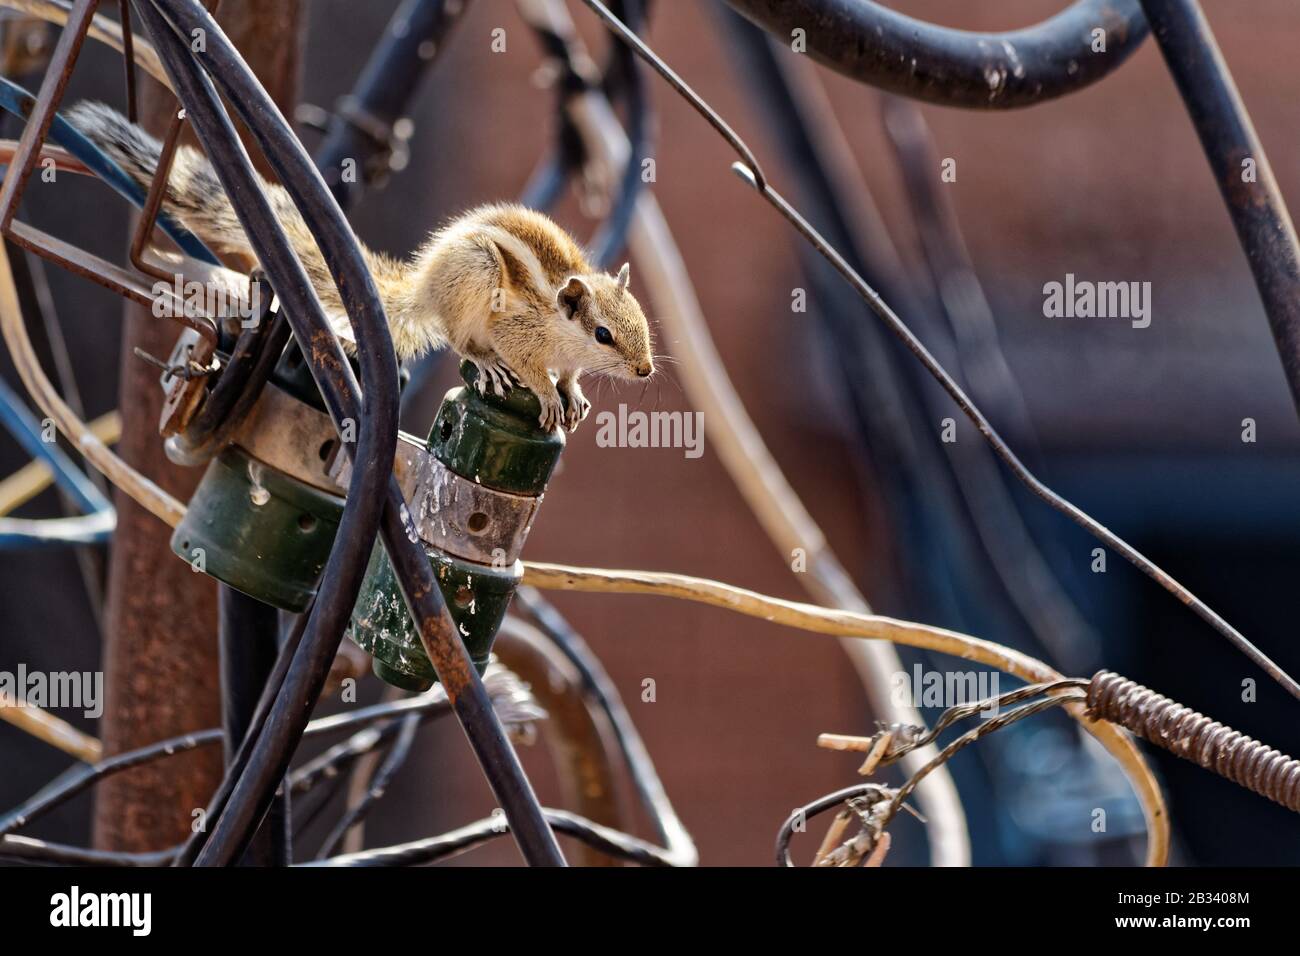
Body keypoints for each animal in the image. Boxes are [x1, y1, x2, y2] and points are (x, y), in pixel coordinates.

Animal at [66, 101, 656, 432]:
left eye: (642, 327)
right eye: (604, 334)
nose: (646, 372)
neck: (559, 326)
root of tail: (425, 285)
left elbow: (571, 376)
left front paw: (574, 393)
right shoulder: (520, 331)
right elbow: (529, 366)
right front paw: (548, 394)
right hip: (476, 275)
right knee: (459, 338)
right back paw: (484, 361)